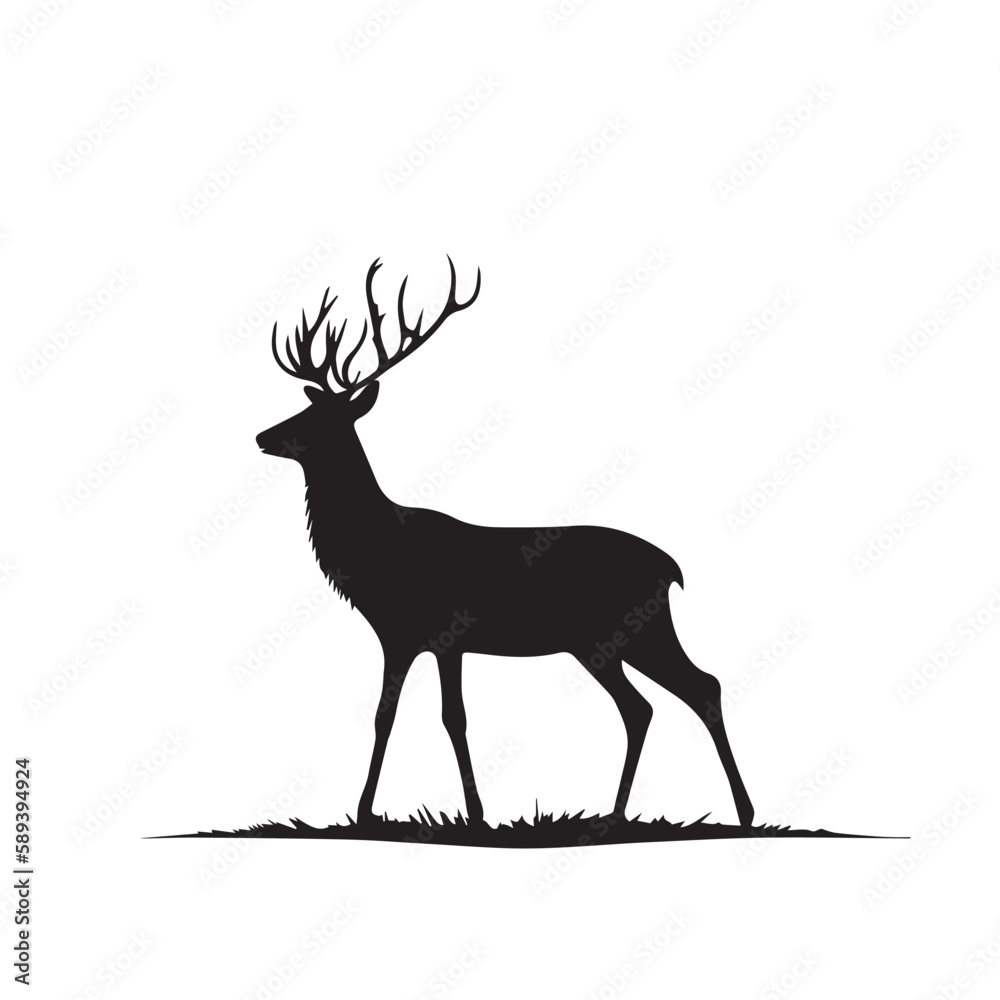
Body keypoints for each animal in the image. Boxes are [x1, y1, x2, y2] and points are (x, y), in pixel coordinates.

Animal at [256, 258, 755, 828]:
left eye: (321, 419)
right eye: (304, 410)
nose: (262, 437)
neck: (376, 552)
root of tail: (671, 568)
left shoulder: (440, 633)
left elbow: (449, 717)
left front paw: (469, 815)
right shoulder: (400, 636)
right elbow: (388, 714)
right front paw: (368, 812)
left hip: (636, 627)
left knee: (699, 686)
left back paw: (741, 812)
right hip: (599, 643)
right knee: (646, 705)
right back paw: (617, 815)